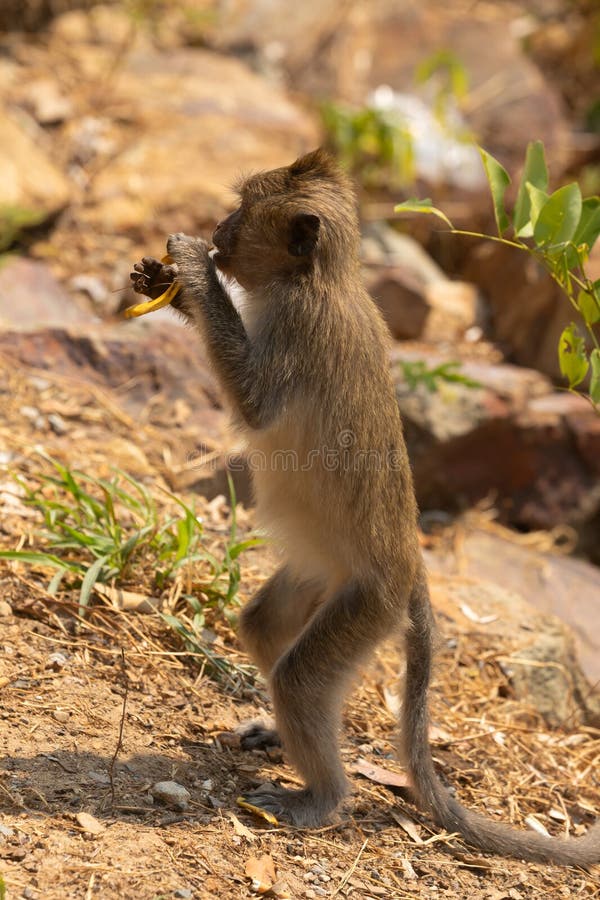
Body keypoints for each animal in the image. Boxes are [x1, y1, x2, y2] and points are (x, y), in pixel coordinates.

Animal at [130, 149, 600, 866]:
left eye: (241, 210)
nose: (217, 229)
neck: (319, 280)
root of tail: (410, 562)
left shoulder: (300, 324)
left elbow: (256, 405)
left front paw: (193, 269)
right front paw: (173, 284)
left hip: (368, 605)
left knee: (301, 678)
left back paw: (323, 796)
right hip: (325, 573)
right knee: (265, 626)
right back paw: (286, 736)